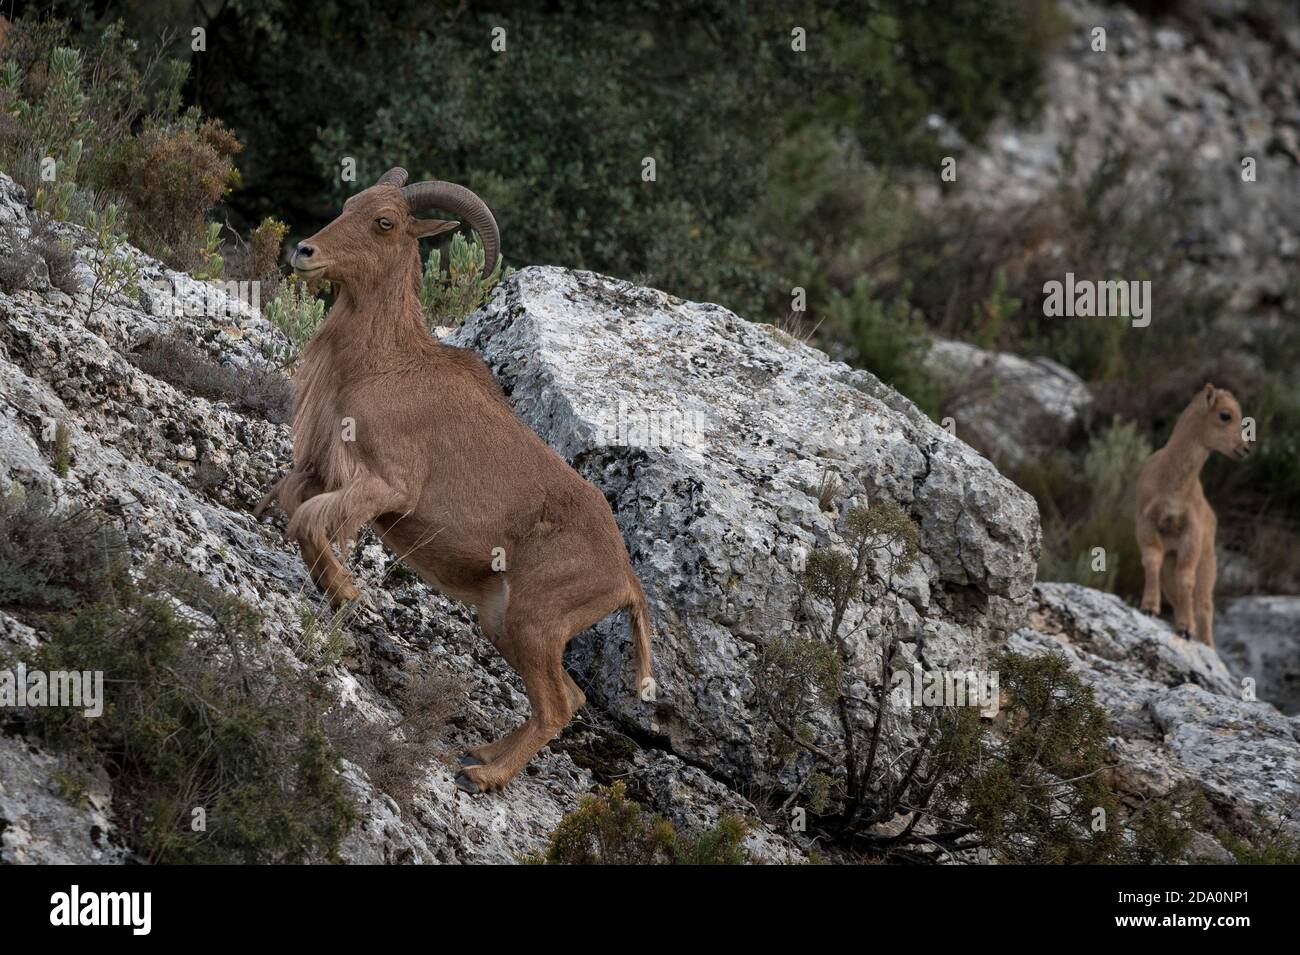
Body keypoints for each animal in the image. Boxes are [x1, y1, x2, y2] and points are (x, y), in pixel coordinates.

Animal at [257, 167, 653, 794]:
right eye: (349, 203)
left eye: (384, 222)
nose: (304, 252)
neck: (383, 364)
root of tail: (626, 579)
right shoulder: (324, 473)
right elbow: (294, 503)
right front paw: (338, 589)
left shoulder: (387, 485)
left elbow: (306, 519)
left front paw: (347, 592)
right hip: (504, 623)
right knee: (567, 696)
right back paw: (480, 752)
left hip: (535, 623)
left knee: (558, 705)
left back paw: (484, 777)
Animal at [1134, 383, 1250, 647]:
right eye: (1225, 415)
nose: (1244, 448)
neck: (1172, 486)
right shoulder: (1146, 522)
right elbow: (1151, 559)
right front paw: (1149, 607)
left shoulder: (1192, 532)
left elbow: (1186, 578)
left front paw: (1184, 629)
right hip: (1172, 565)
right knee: (1178, 596)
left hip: (1208, 564)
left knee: (1204, 606)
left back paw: (1206, 644)